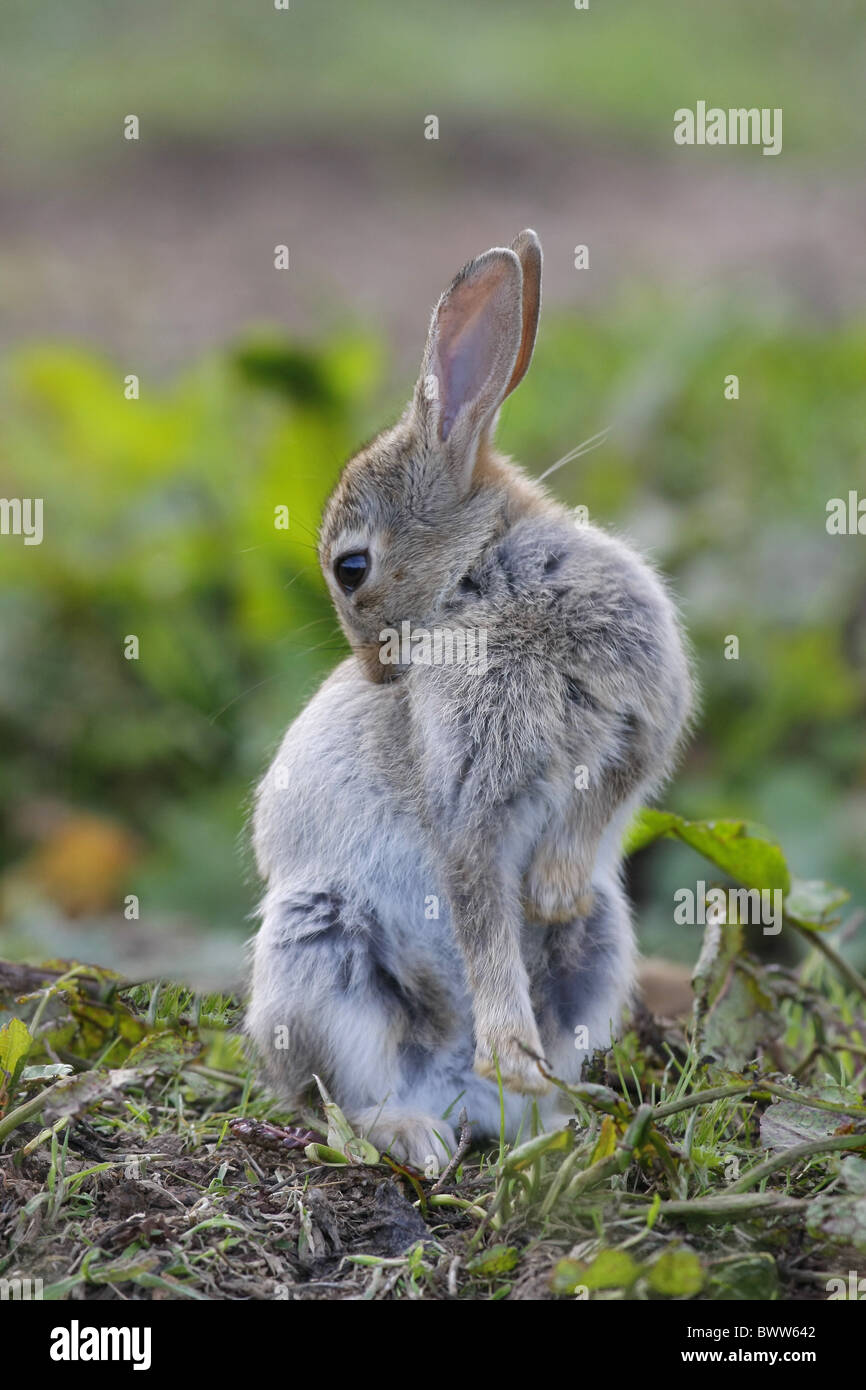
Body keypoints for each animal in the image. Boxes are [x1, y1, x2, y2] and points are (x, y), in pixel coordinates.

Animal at [247, 230, 693, 1171]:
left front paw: (553, 889)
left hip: (603, 948)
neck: (489, 580)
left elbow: (612, 794)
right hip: (317, 952)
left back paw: (551, 1123)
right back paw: (425, 1129)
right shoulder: (468, 792)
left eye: (351, 567)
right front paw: (509, 1042)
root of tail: (455, 1092)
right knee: (336, 1100)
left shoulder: (644, 715)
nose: (375, 674)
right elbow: (478, 901)